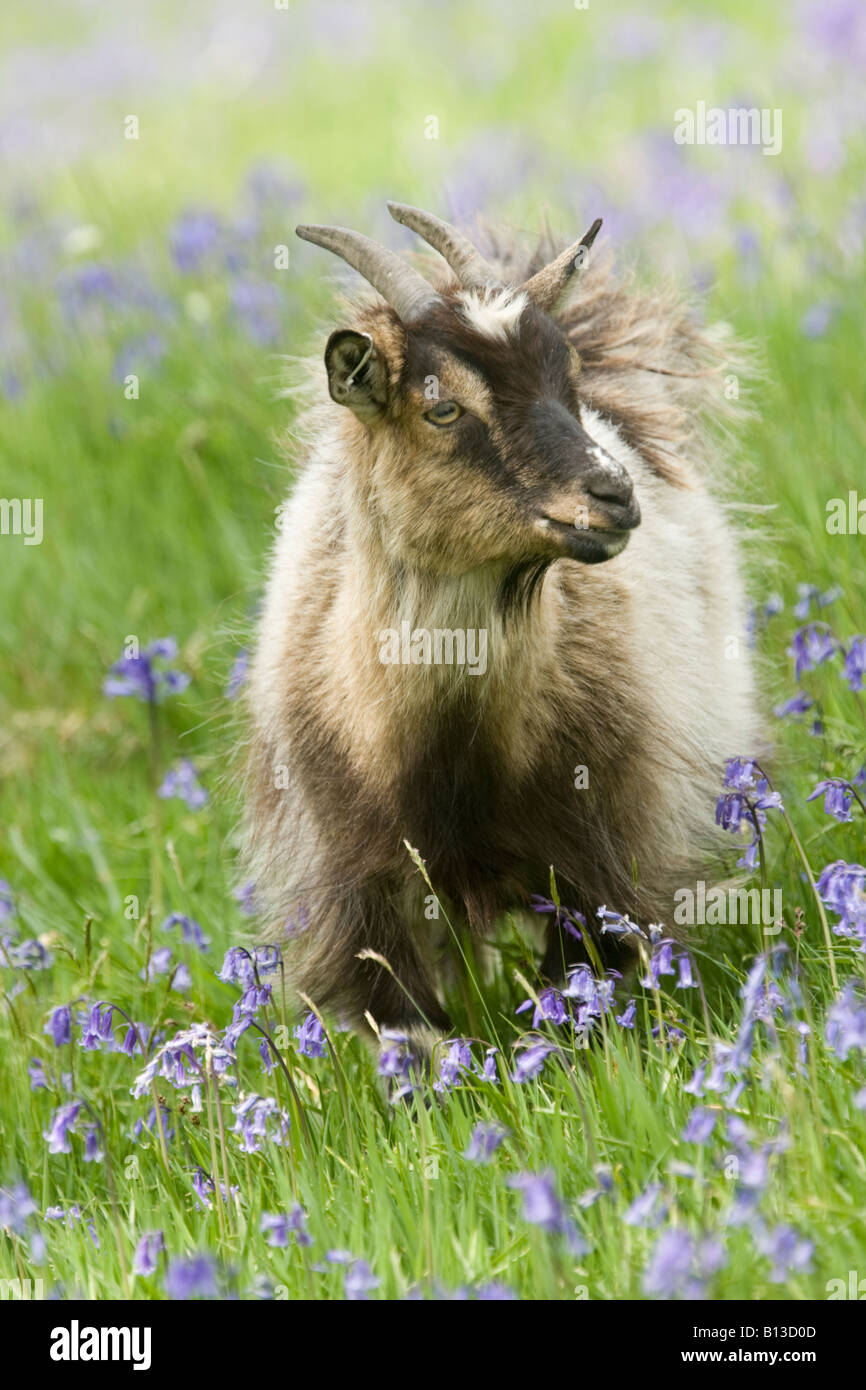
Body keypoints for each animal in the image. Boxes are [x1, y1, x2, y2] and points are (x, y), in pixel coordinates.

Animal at [244, 201, 762, 1059]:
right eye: (442, 407)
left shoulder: (599, 851)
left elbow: (581, 981)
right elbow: (407, 1029)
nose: (612, 495)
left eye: (565, 381)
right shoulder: (356, 879)